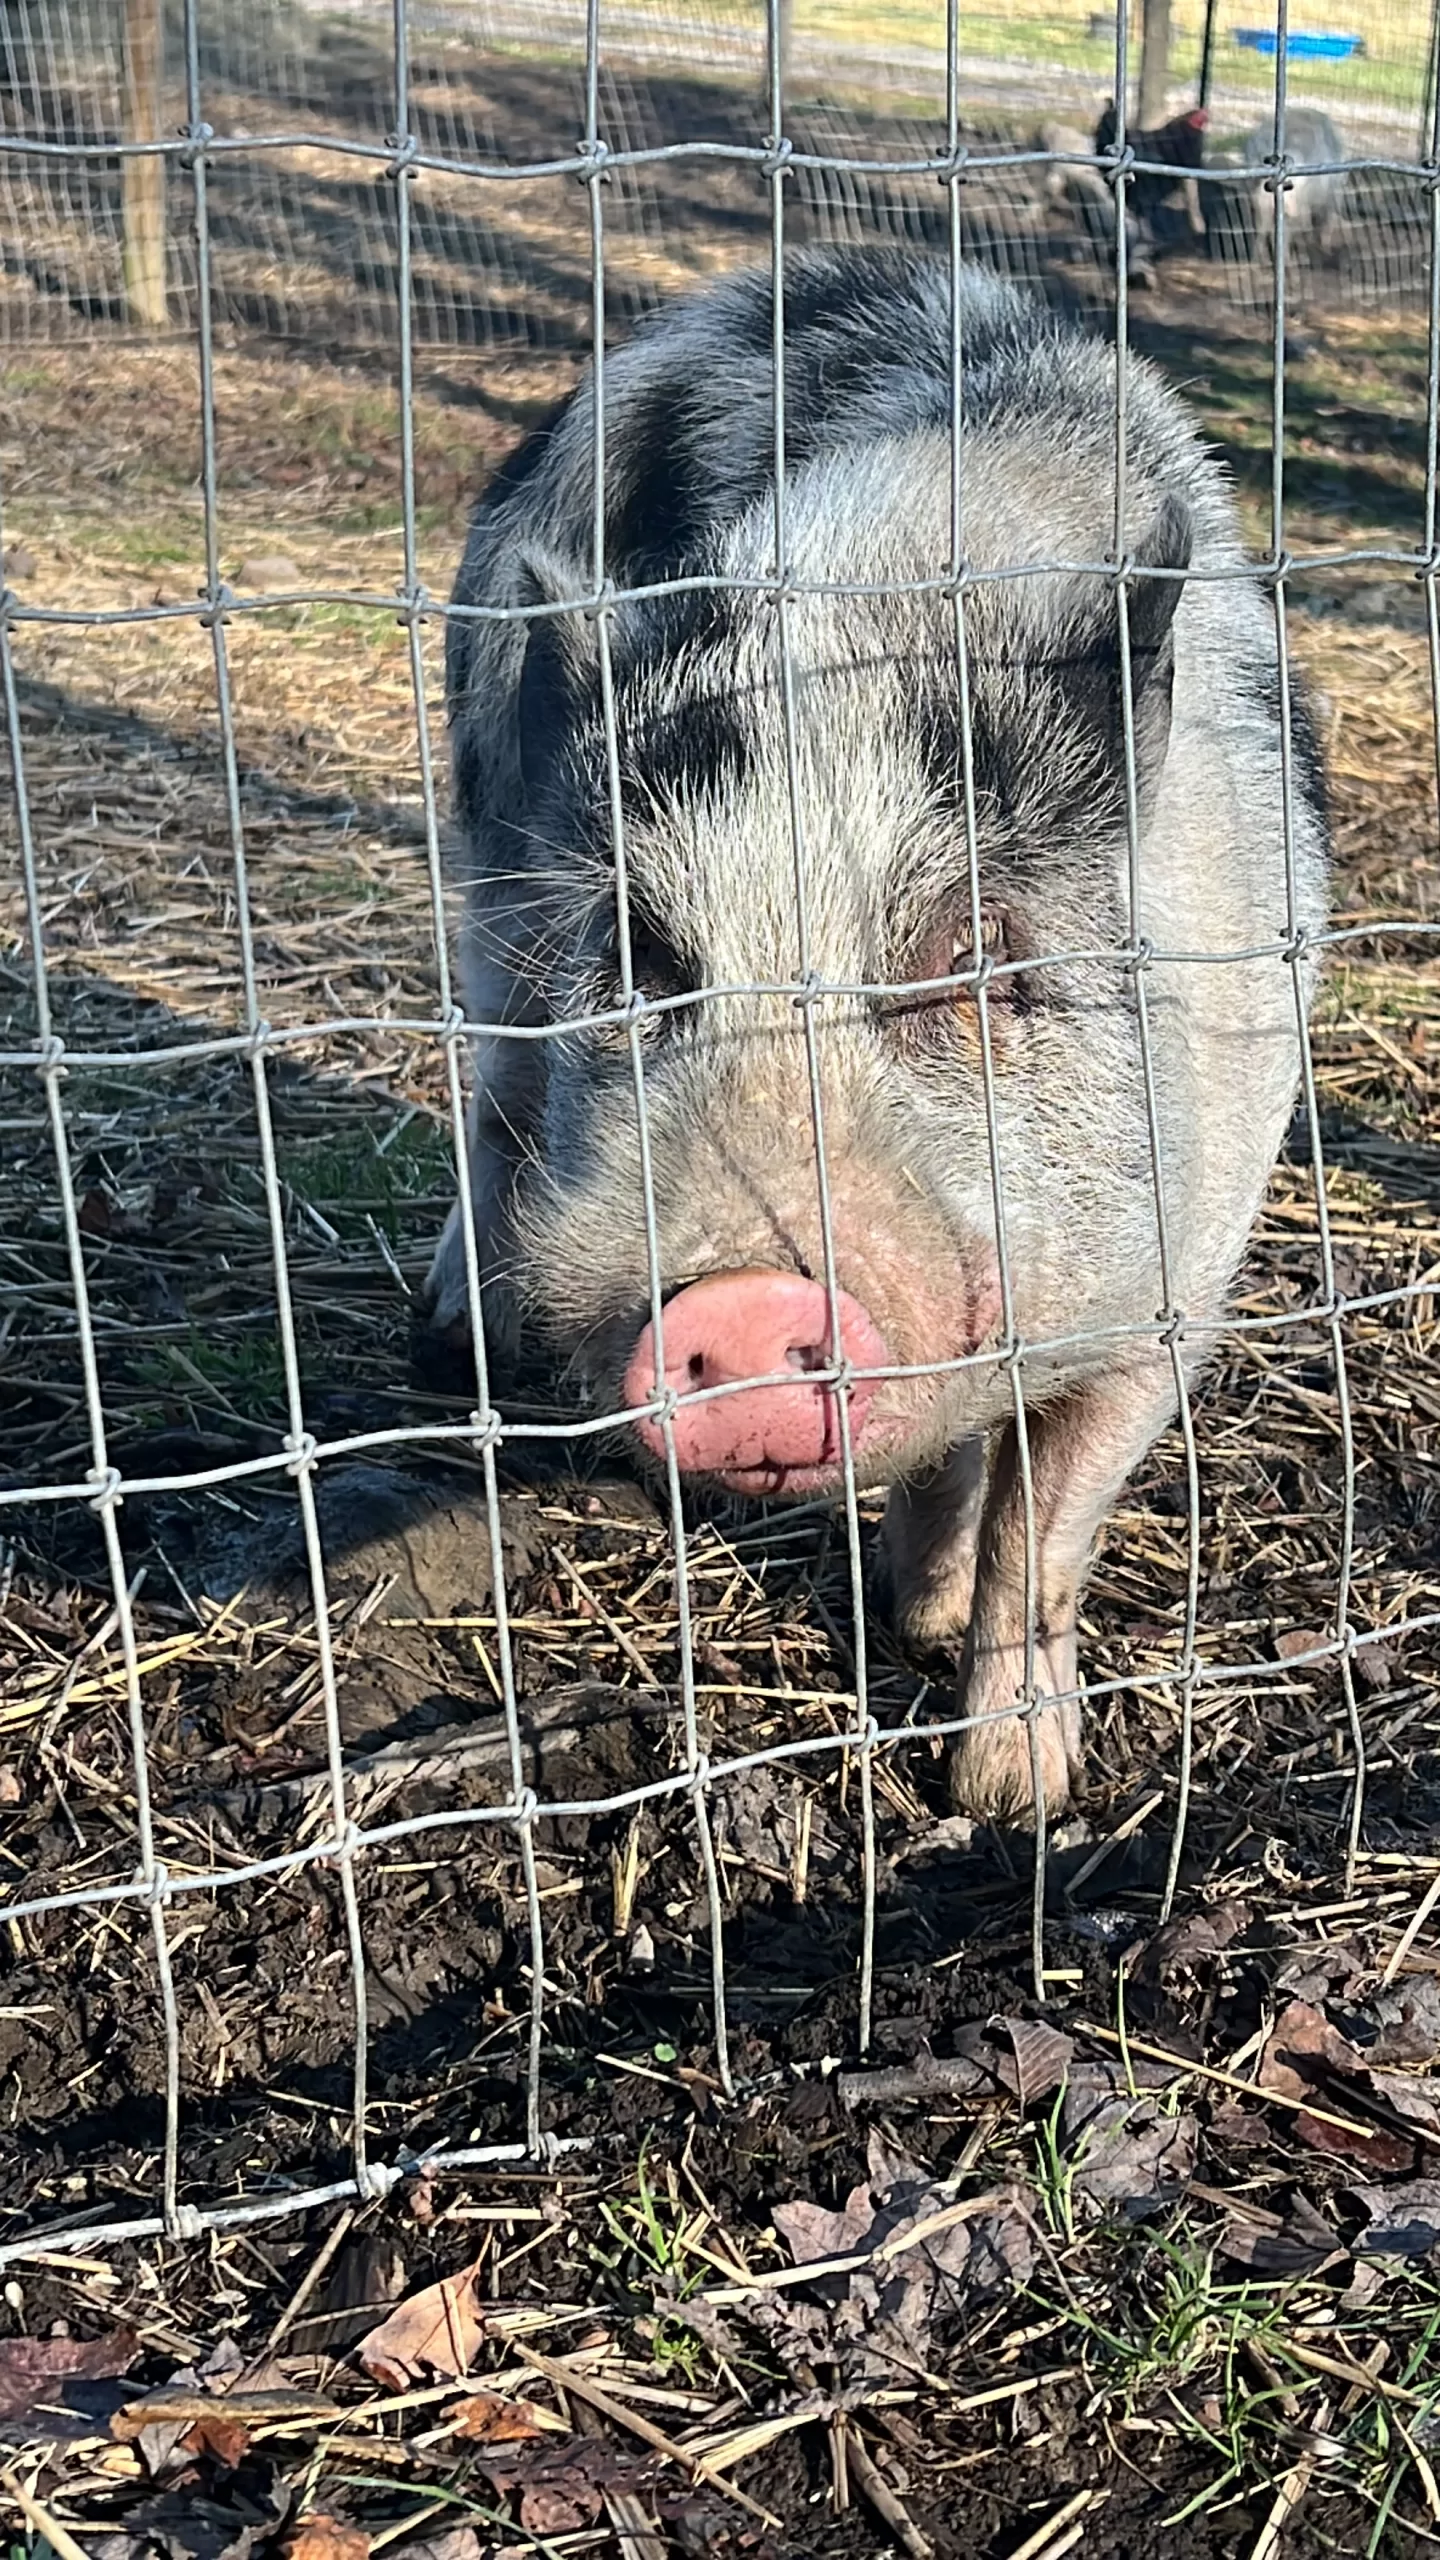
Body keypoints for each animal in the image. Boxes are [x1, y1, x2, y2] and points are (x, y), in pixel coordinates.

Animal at [424, 249, 1327, 1822]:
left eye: (975, 953)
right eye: (646, 956)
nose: (735, 1303)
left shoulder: (1176, 1289)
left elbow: (1043, 1529)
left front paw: (1002, 1778)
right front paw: (998, 1767)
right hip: (485, 867)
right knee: (494, 1101)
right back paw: (455, 1338)